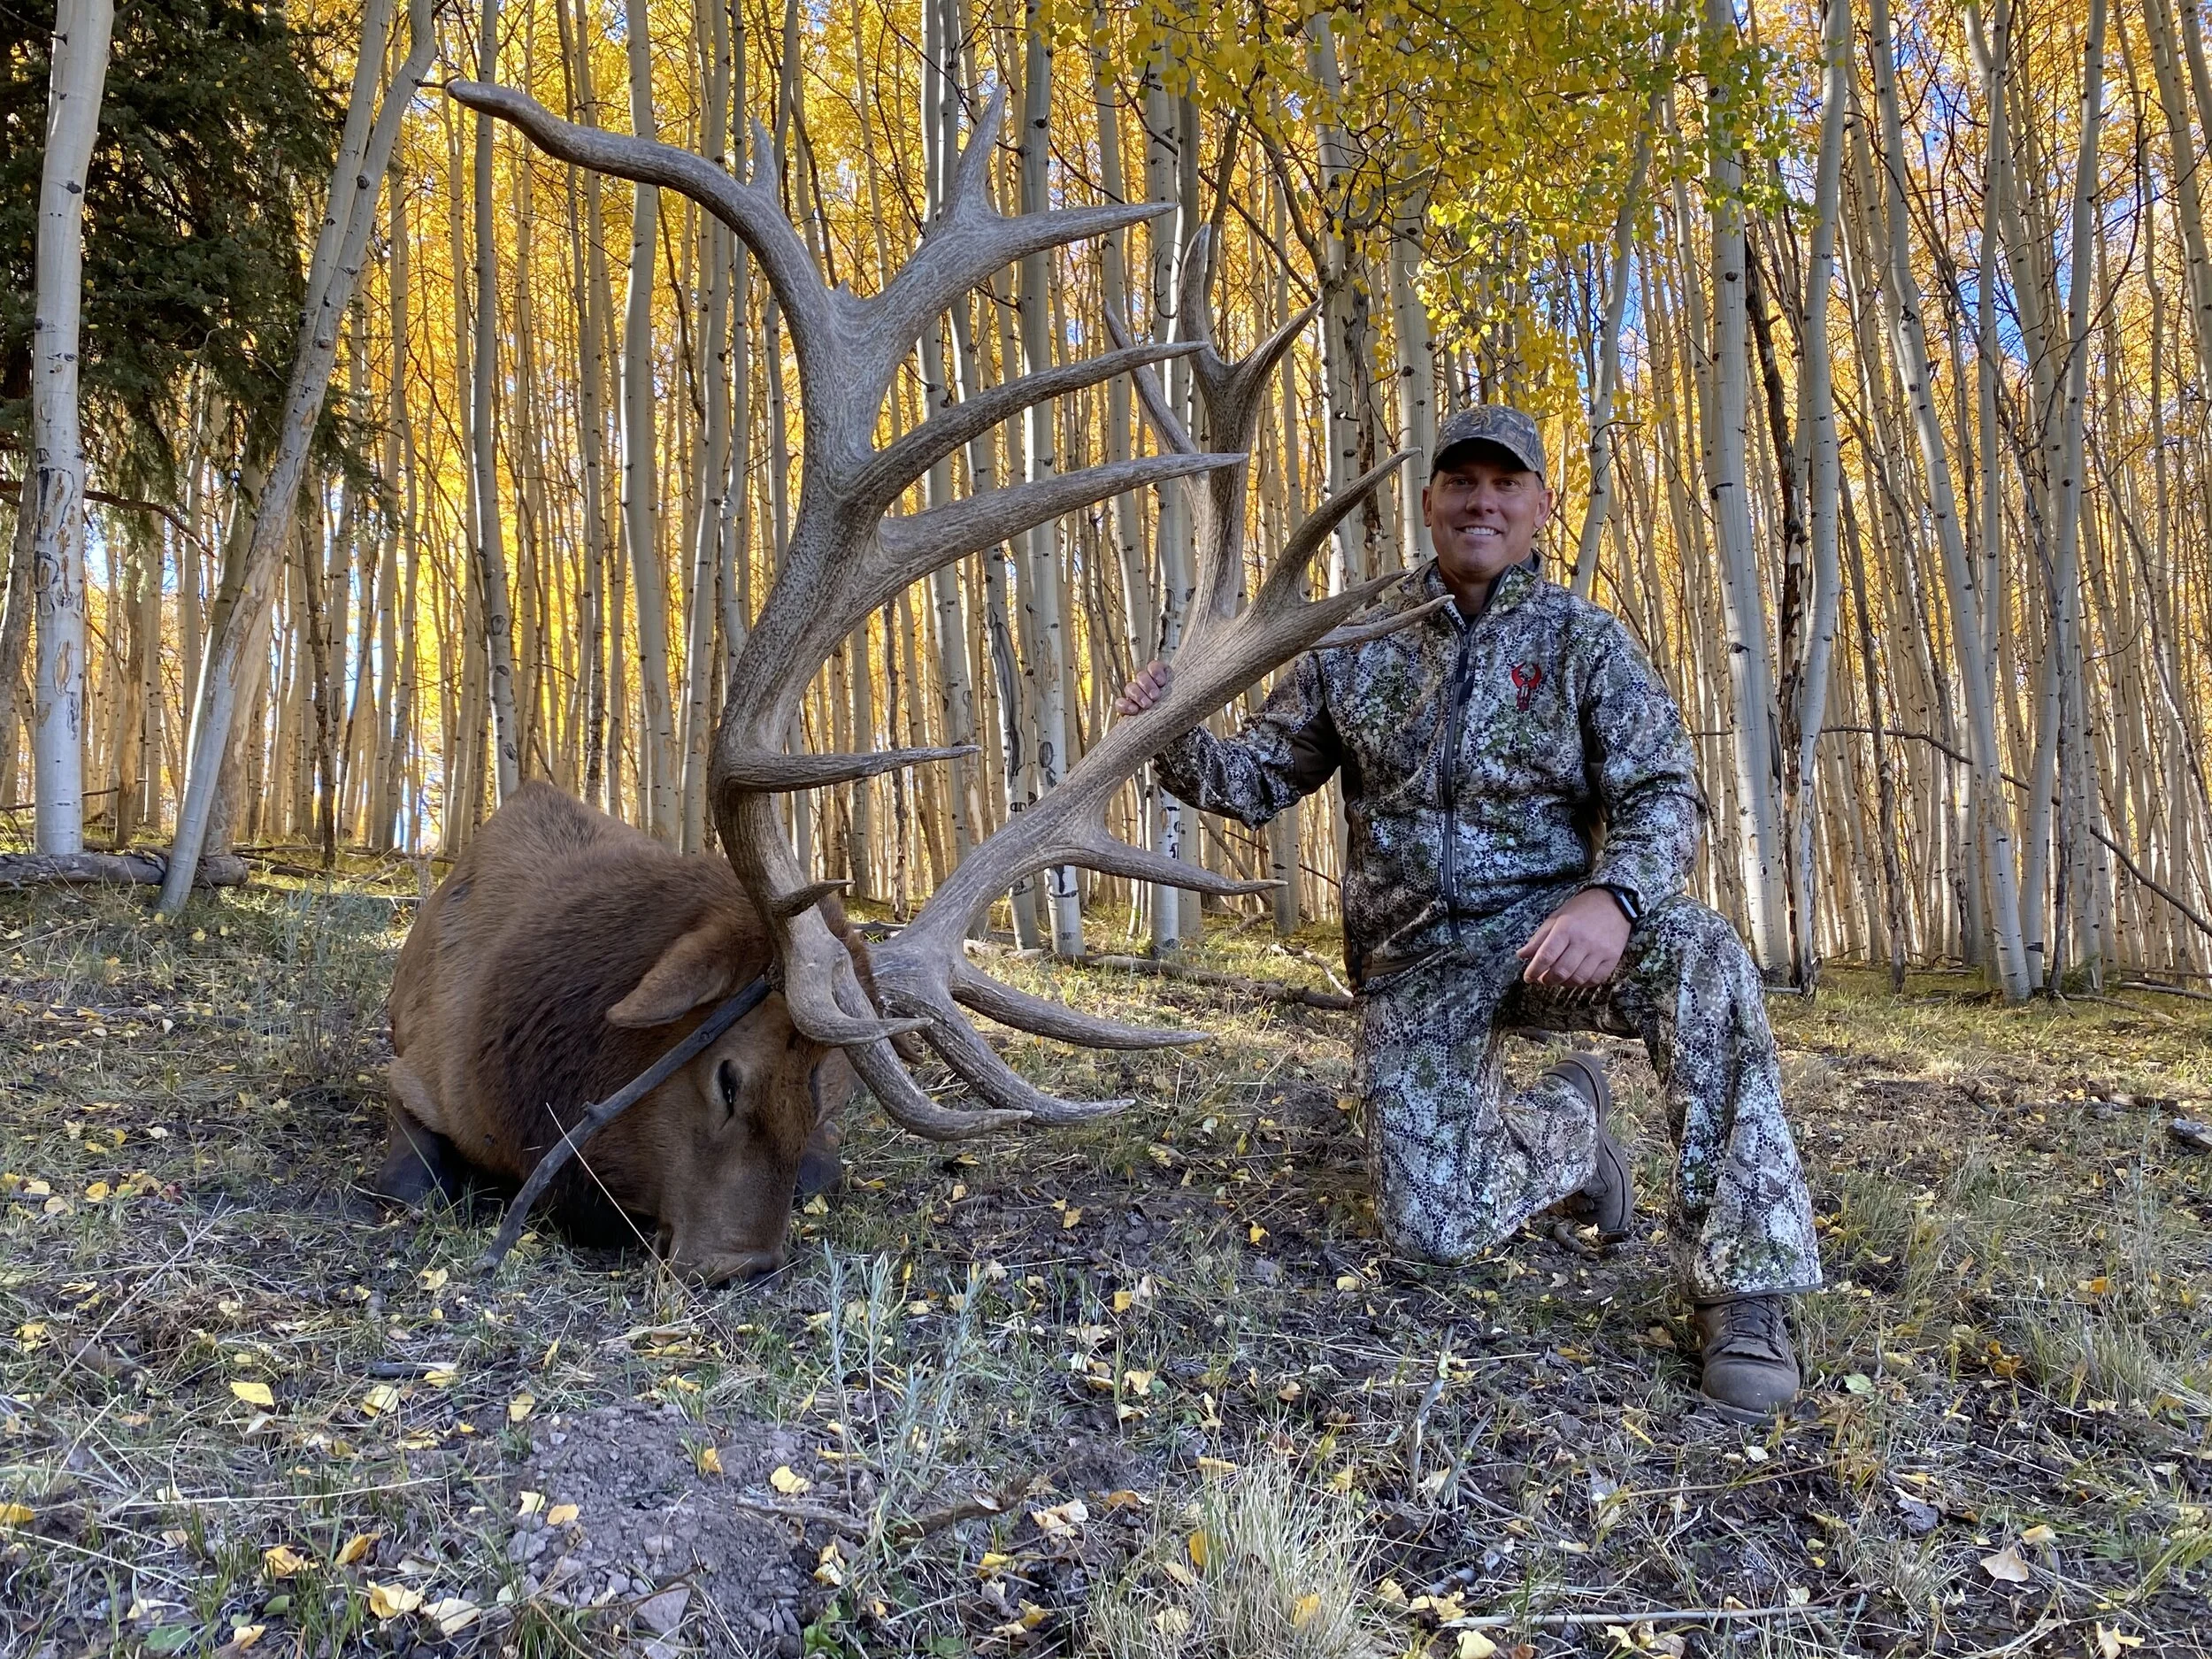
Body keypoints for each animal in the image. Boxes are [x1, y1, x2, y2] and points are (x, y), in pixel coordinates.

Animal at [373, 782, 858, 1283]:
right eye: (728, 1081)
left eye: (822, 1102)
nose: (744, 1264)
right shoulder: (413, 1073)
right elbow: (407, 1187)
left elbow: (822, 1173)